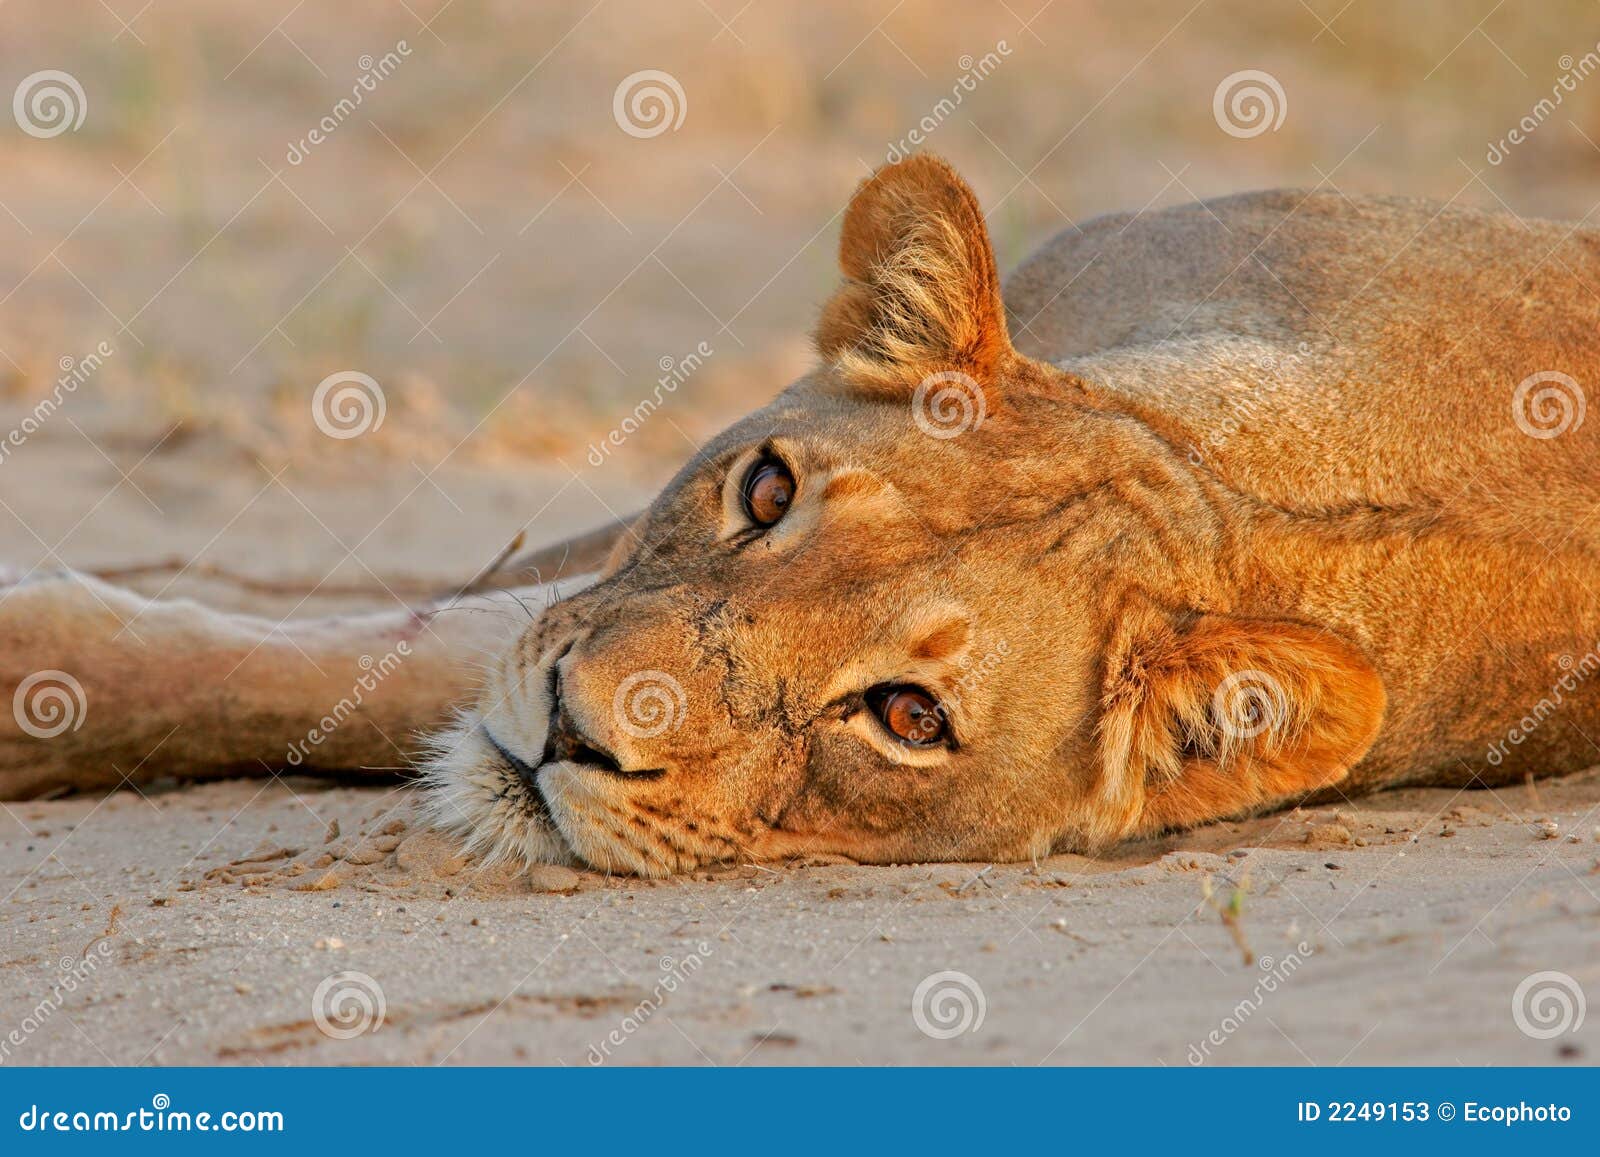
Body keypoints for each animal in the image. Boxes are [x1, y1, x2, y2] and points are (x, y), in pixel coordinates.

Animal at [5, 154, 1600, 877]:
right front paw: (46, 673)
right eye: (765, 489)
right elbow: (390, 649)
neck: (1237, 470)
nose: (572, 729)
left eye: (905, 718)